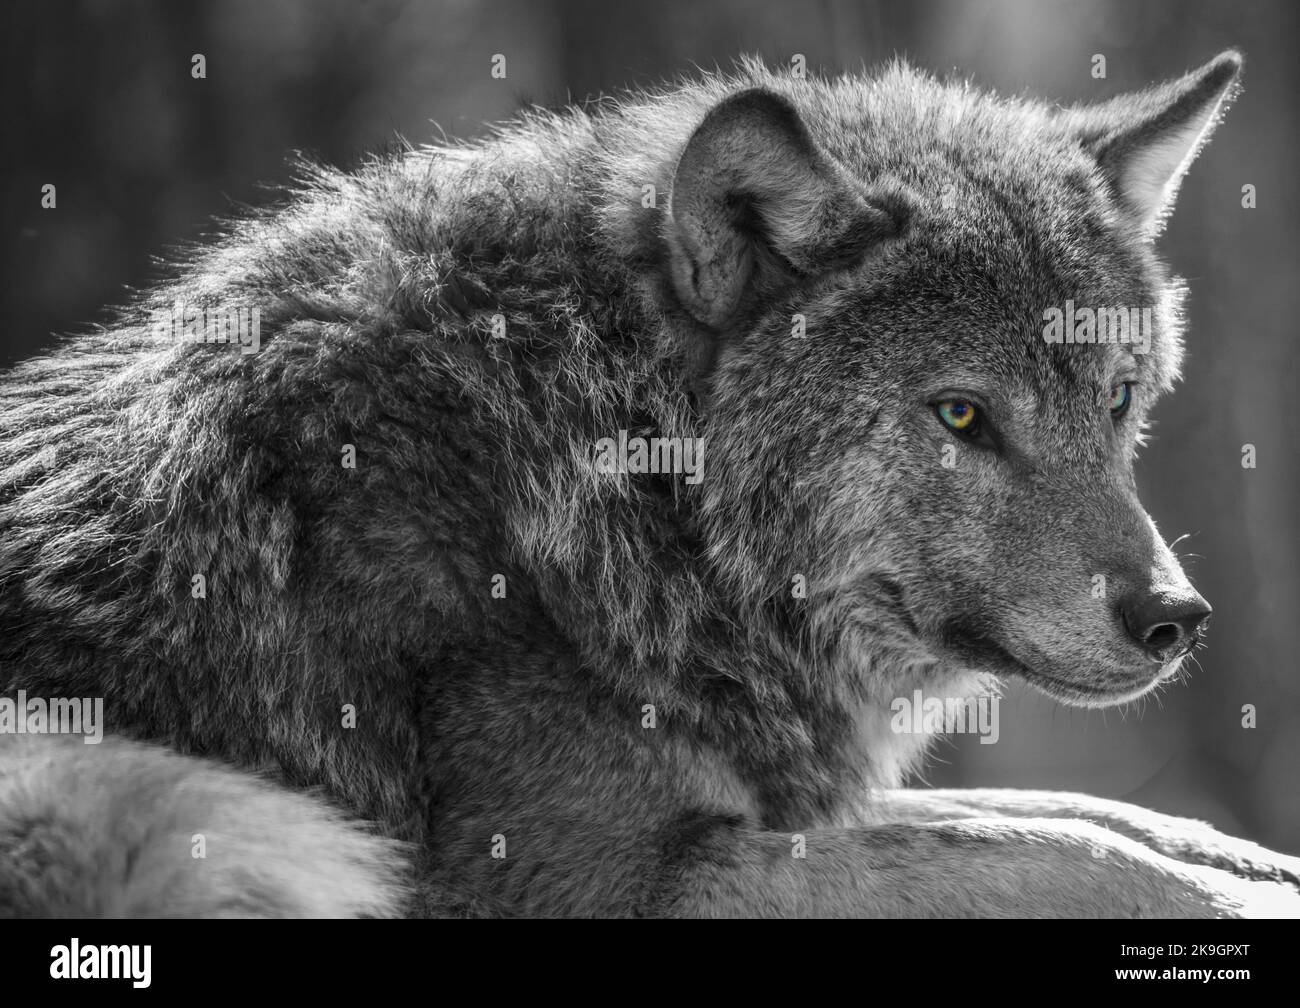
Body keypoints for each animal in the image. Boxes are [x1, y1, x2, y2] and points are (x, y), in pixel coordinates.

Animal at [2, 50, 1297, 918]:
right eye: (963, 416)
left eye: (1118, 399)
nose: (1172, 619)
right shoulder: (597, 880)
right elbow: (1043, 856)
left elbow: (1068, 820)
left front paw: (1250, 861)